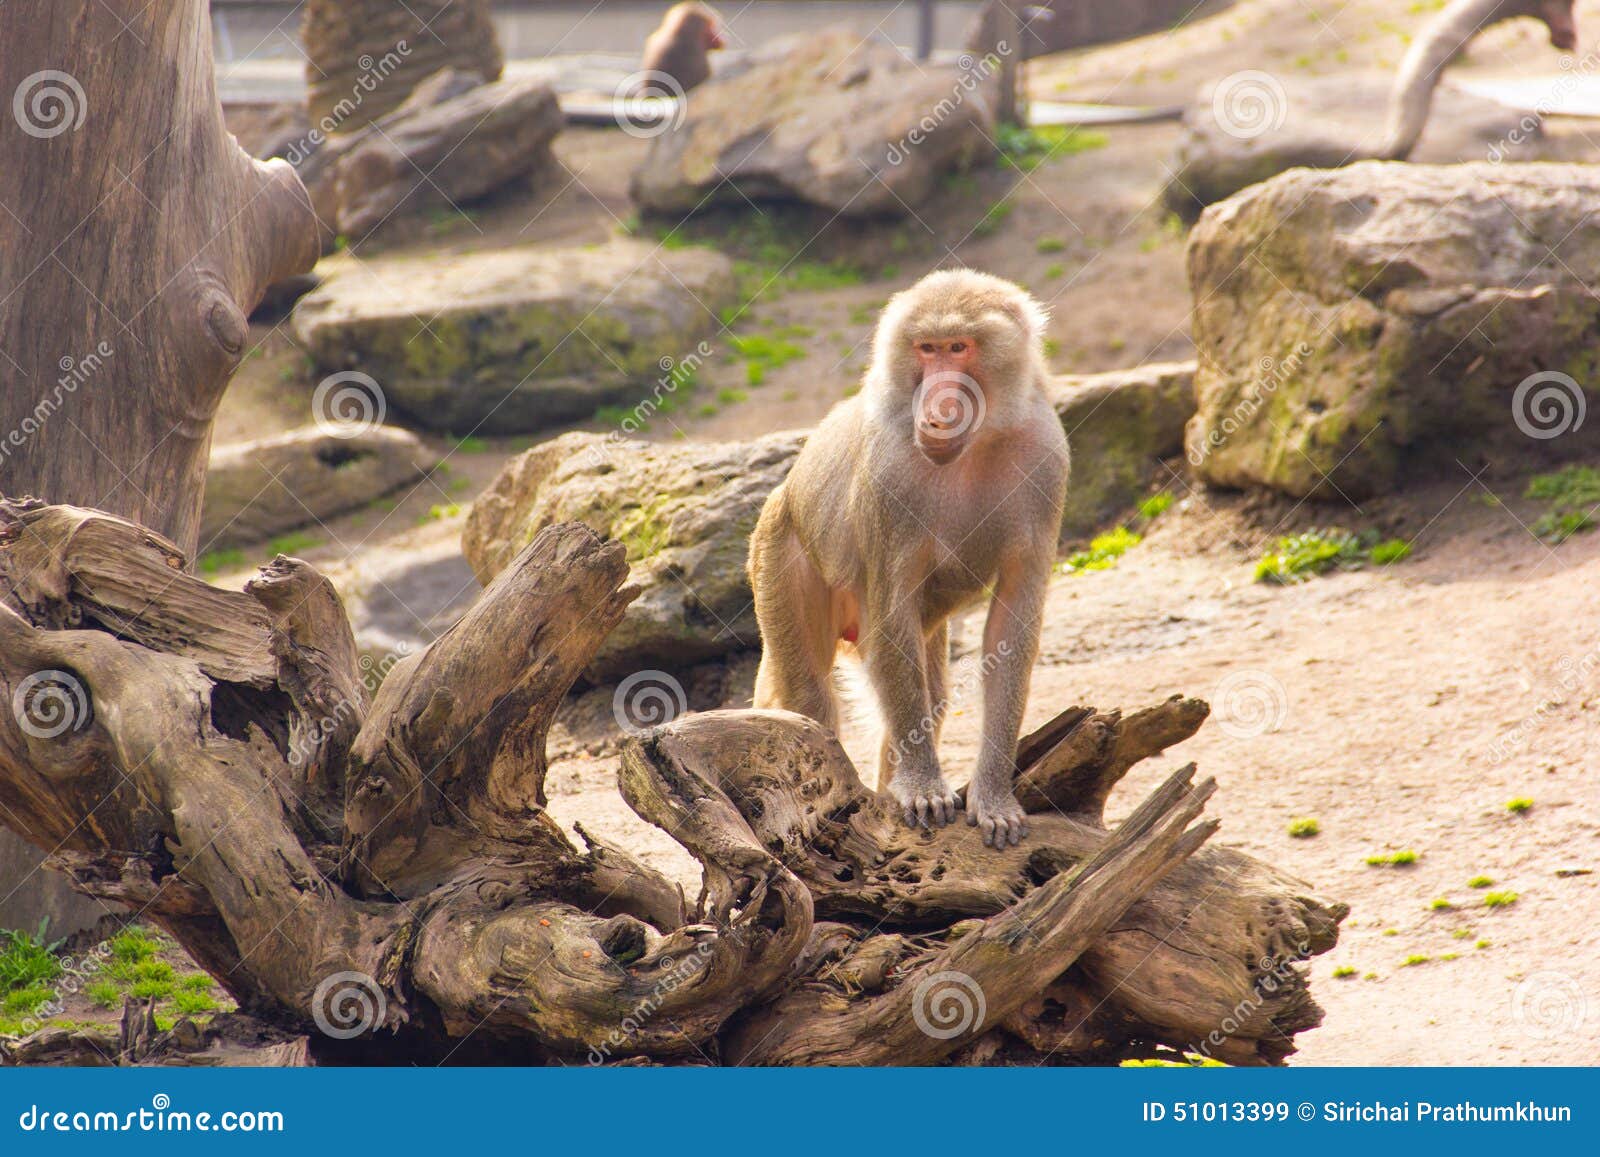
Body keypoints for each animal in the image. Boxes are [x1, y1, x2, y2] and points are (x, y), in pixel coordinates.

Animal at [748, 270, 1068, 848]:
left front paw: (992, 796)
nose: (939, 408)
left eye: (959, 348)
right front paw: (921, 788)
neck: (977, 445)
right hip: (777, 552)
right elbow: (891, 611)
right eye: (927, 349)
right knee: (810, 701)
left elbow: (1010, 627)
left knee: (930, 692)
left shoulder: (1046, 462)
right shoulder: (890, 473)